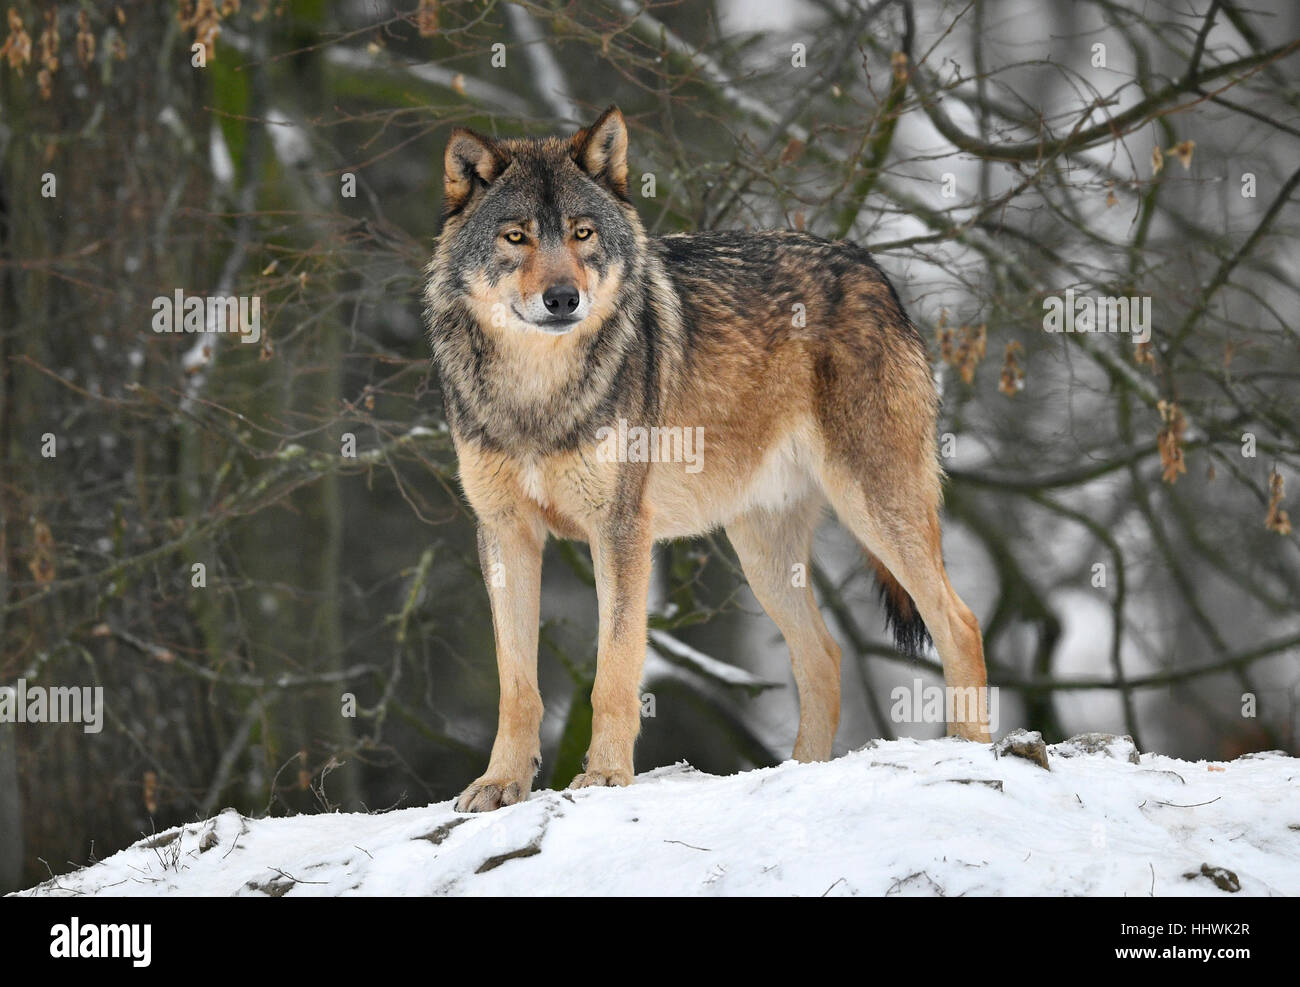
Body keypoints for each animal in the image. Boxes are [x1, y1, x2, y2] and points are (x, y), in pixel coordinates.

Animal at [424, 106, 991, 813]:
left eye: (582, 233)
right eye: (516, 236)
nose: (562, 298)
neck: (536, 396)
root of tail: (870, 266)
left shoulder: (621, 531)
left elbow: (615, 671)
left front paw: (605, 777)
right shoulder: (504, 532)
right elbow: (516, 684)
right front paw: (499, 784)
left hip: (876, 509)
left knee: (960, 622)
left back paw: (971, 753)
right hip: (763, 554)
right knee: (824, 658)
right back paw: (799, 775)